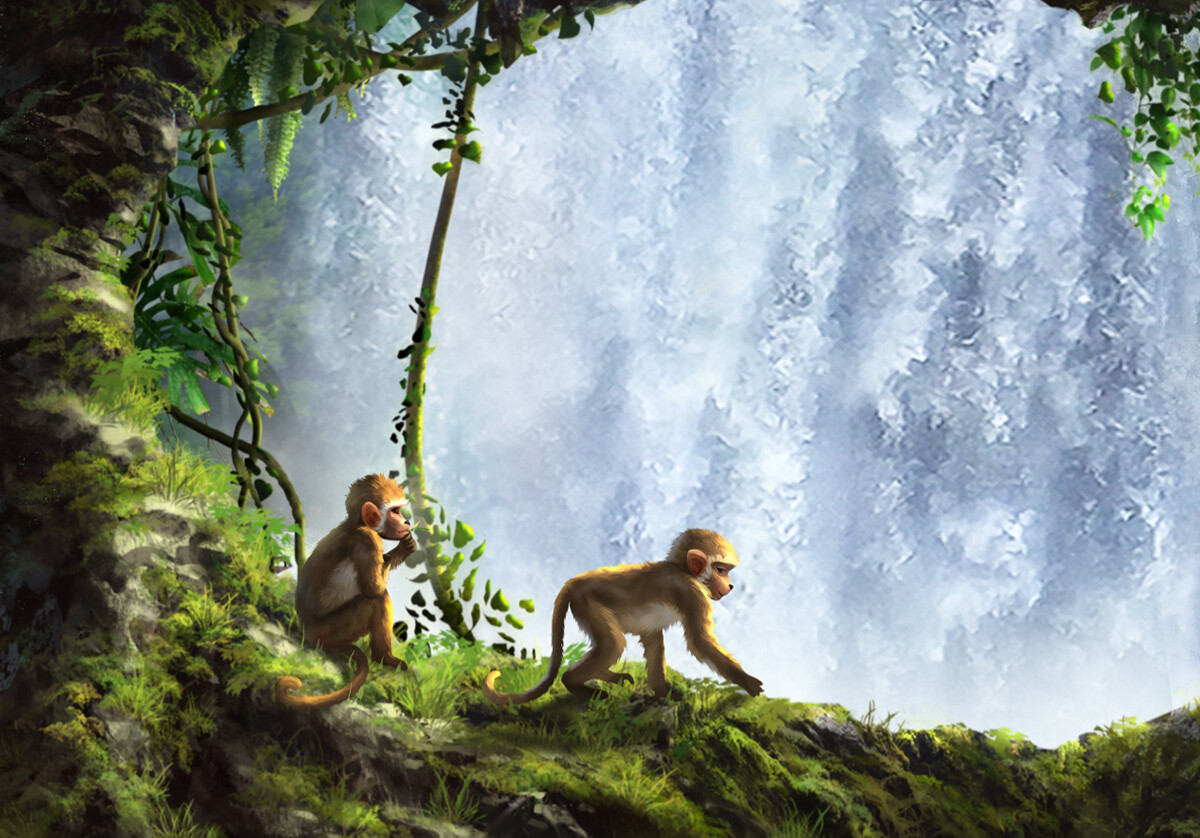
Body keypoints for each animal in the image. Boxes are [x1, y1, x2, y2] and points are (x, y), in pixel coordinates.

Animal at [275, 474, 417, 709]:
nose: (406, 522)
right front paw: (404, 549)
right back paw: (383, 657)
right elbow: (373, 589)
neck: (355, 525)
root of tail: (308, 630)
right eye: (395, 511)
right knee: (376, 599)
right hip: (337, 627)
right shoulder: (368, 541)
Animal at [483, 528, 763, 705]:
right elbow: (700, 643)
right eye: (721, 570)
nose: (730, 586)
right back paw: (573, 683)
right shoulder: (692, 593)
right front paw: (746, 681)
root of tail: (575, 582)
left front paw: (662, 691)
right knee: (612, 644)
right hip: (587, 603)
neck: (682, 571)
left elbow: (653, 641)